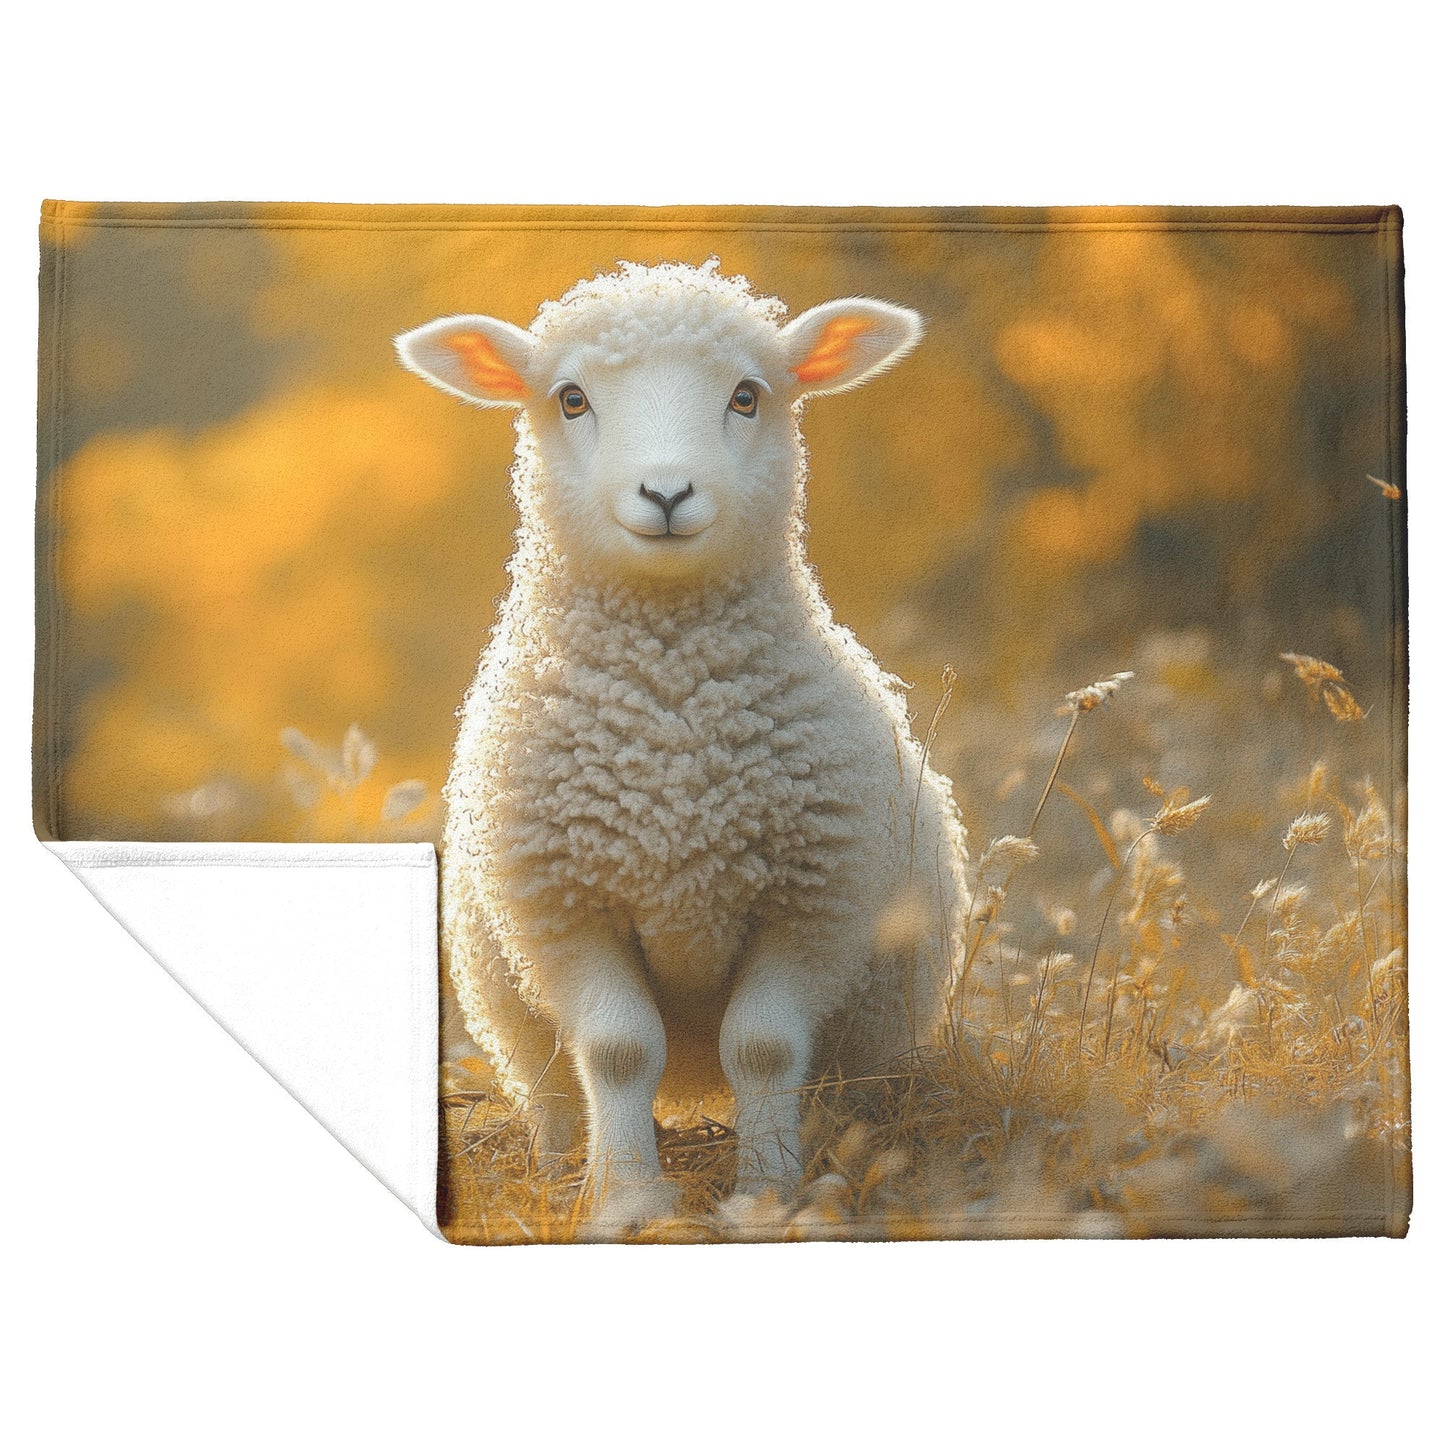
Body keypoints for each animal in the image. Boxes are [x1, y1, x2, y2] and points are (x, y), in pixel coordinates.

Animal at [396, 260, 970, 1232]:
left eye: (746, 395)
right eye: (571, 398)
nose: (666, 494)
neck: (669, 735)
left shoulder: (813, 900)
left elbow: (765, 1047)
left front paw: (766, 1192)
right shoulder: (562, 907)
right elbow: (619, 1050)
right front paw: (629, 1199)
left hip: (873, 1030)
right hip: (512, 1017)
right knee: (558, 1093)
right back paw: (564, 1171)